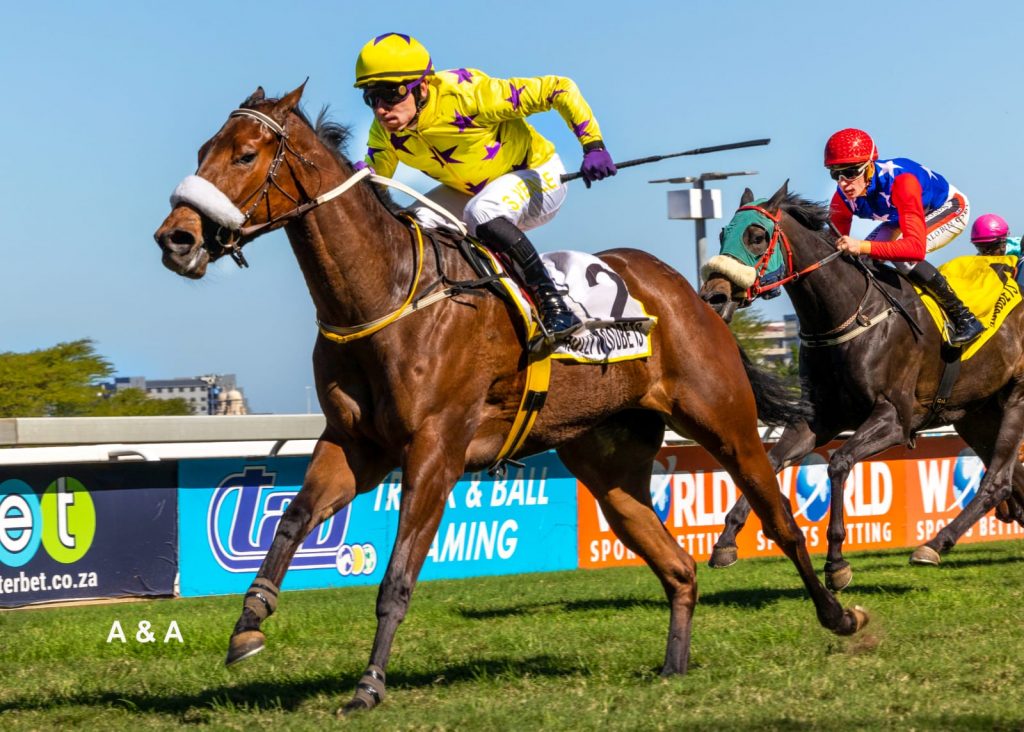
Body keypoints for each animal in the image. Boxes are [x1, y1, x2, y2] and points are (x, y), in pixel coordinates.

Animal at [153, 84, 867, 714]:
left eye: (245, 154)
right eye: (202, 150)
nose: (175, 238)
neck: (388, 294)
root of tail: (690, 293)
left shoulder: (434, 450)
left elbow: (398, 575)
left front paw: (369, 685)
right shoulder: (355, 444)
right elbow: (294, 518)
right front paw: (249, 623)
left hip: (725, 424)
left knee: (778, 520)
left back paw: (840, 613)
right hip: (609, 468)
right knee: (677, 566)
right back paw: (674, 667)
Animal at [699, 182, 1024, 590]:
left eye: (756, 237)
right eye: (722, 234)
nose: (714, 297)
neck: (848, 313)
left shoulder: (894, 419)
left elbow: (839, 463)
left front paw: (836, 562)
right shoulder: (818, 419)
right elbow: (770, 463)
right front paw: (725, 541)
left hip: (1015, 398)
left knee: (995, 480)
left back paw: (933, 544)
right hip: (974, 413)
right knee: (1008, 478)